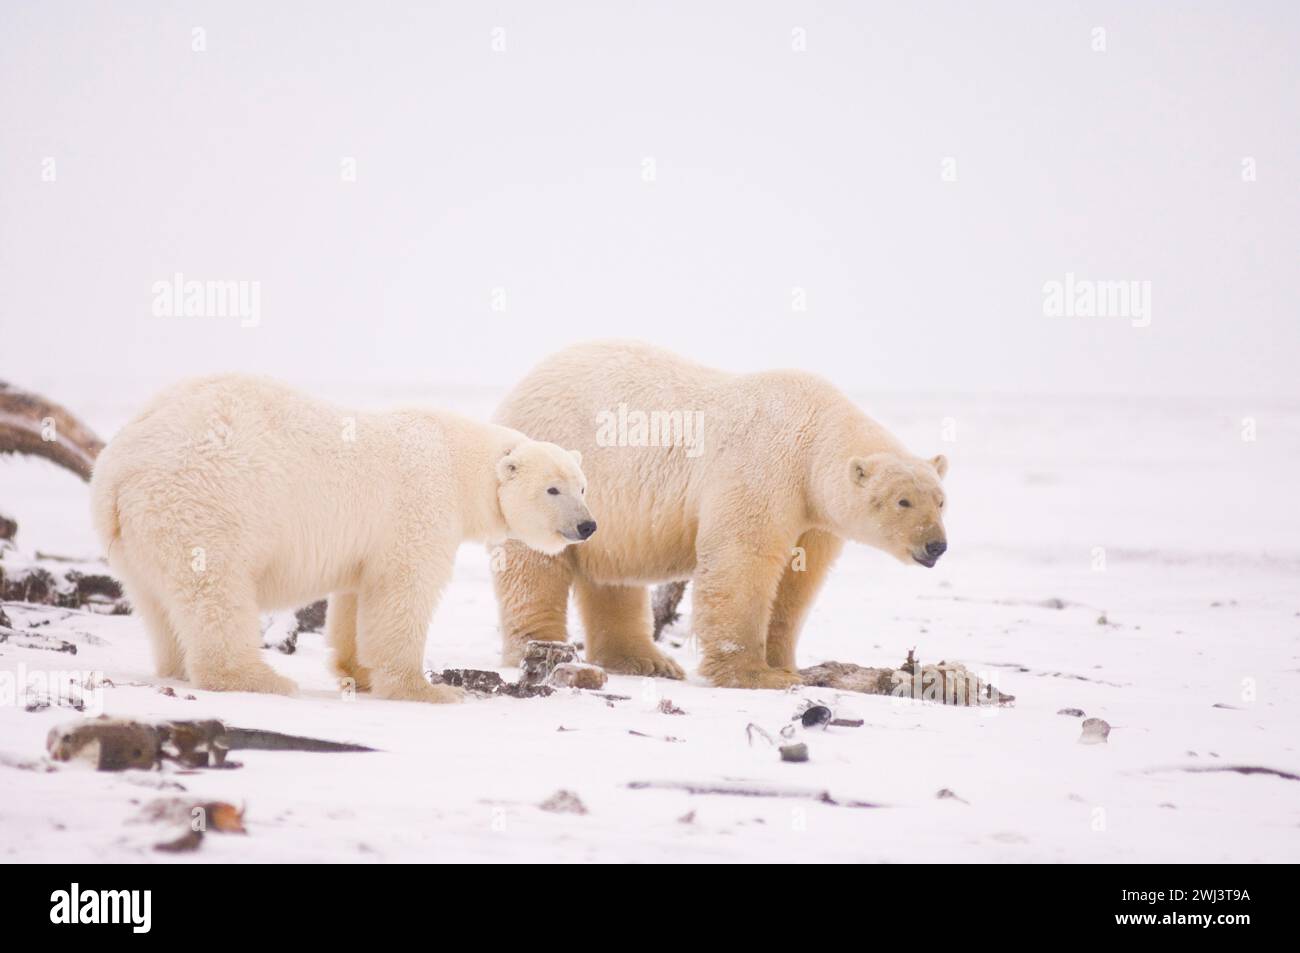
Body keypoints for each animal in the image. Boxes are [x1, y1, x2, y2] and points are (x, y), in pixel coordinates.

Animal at [89, 374, 594, 703]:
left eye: (583, 485)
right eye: (553, 489)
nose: (587, 526)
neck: (458, 461)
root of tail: (118, 468)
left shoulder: (369, 540)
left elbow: (357, 595)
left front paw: (358, 673)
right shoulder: (420, 504)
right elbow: (403, 589)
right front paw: (429, 689)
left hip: (137, 535)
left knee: (155, 602)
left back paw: (177, 667)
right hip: (204, 503)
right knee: (216, 590)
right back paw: (260, 678)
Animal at [491, 341, 948, 689]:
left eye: (941, 500)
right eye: (902, 501)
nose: (936, 545)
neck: (812, 434)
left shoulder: (813, 515)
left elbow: (798, 579)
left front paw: (785, 664)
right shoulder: (763, 467)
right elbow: (743, 559)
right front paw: (756, 674)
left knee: (614, 578)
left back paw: (646, 661)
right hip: (550, 480)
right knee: (534, 566)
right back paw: (544, 648)